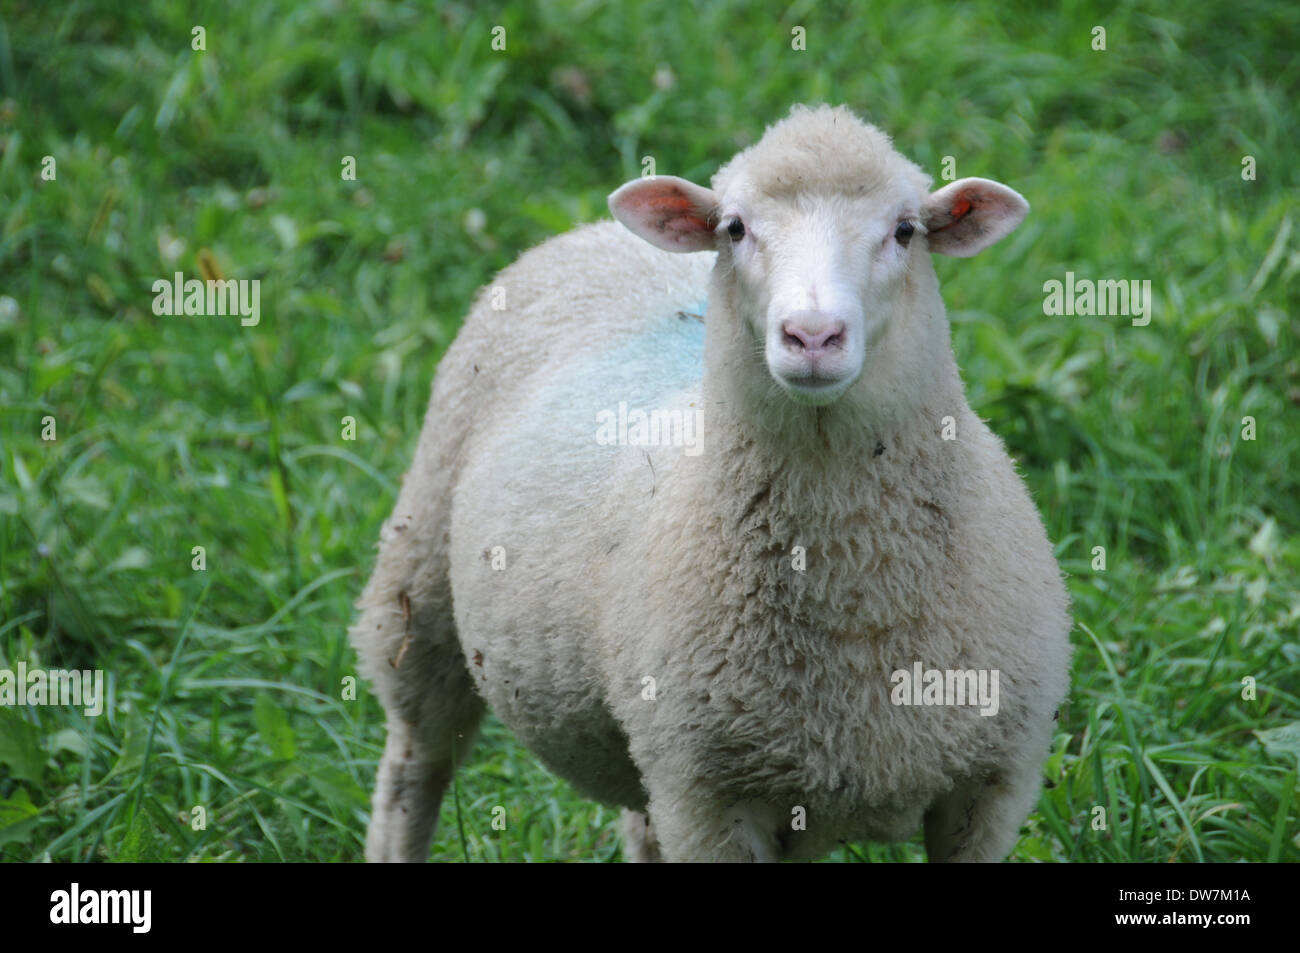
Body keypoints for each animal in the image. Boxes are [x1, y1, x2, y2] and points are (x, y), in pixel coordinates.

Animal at [350, 103, 1072, 863]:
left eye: (906, 230)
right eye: (735, 228)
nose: (812, 336)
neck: (854, 598)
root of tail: (588, 231)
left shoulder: (990, 787)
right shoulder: (709, 798)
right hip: (421, 587)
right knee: (413, 767)